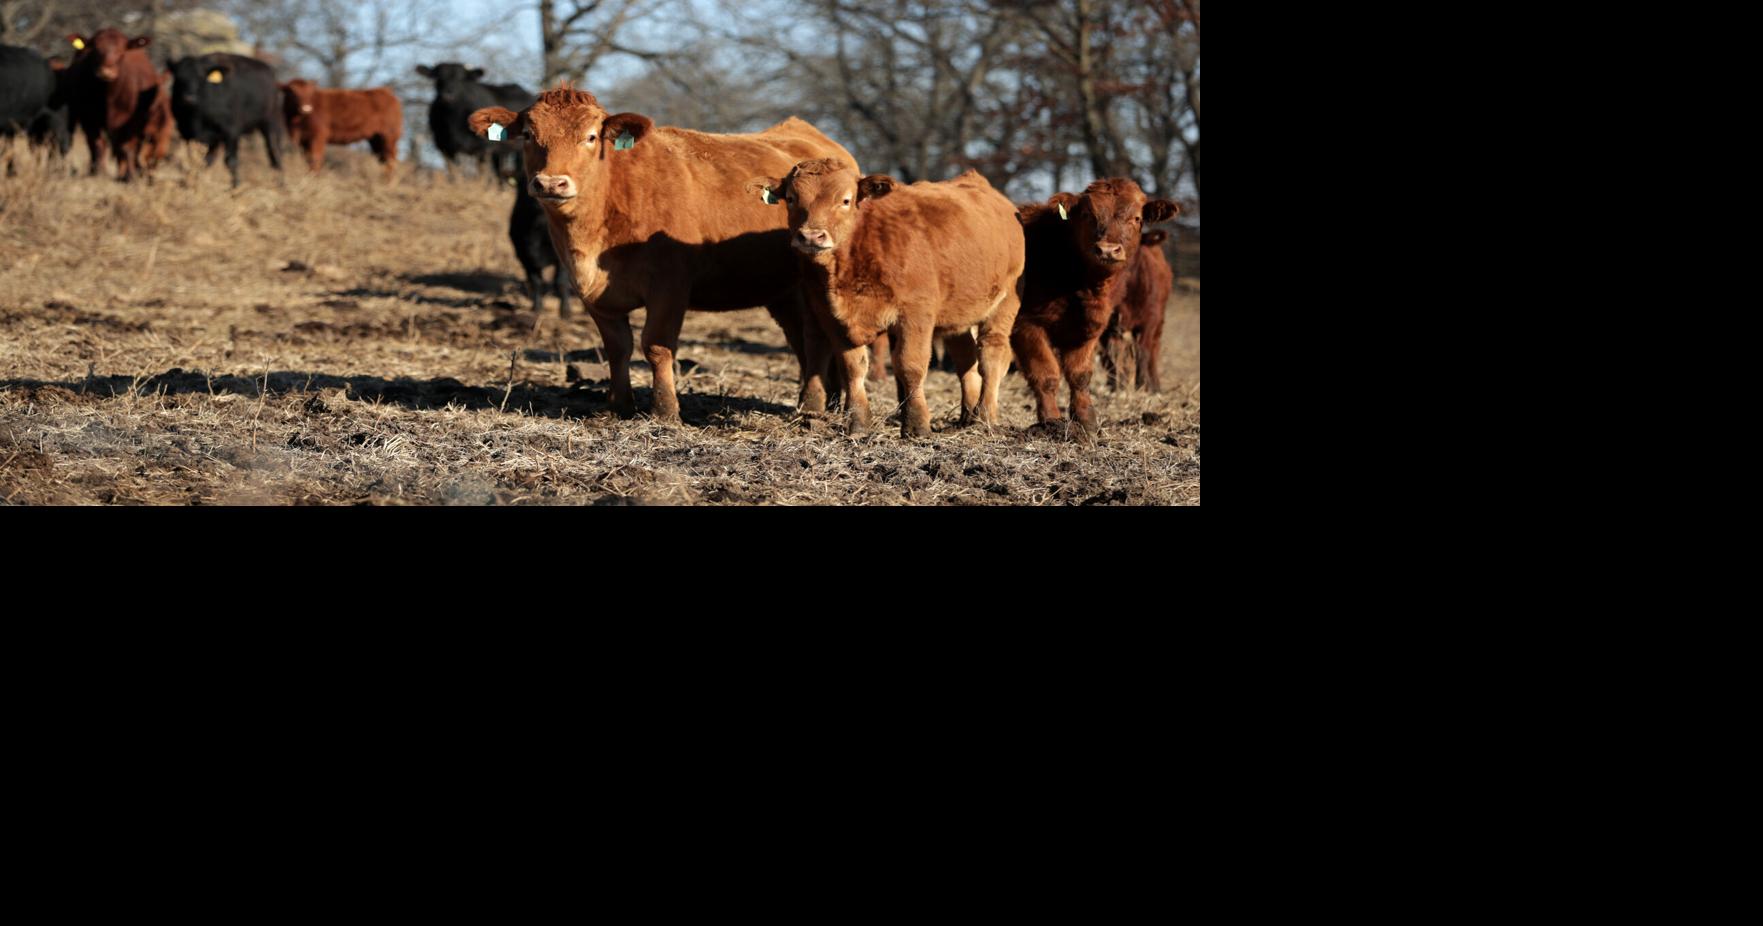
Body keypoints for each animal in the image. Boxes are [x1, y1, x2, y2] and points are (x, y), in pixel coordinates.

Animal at [62, 29, 164, 181]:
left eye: (121, 51)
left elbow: (127, 146)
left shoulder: (132, 120)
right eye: (95, 49)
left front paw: (131, 176)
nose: (106, 72)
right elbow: (97, 144)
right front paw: (98, 173)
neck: (109, 96)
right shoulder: (88, 118)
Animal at [169, 53, 285, 187]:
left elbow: (231, 161)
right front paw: (189, 183)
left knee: (275, 154)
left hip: (271, 122)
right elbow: (194, 159)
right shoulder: (186, 133)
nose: (189, 98)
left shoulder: (231, 131)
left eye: (200, 77)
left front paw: (235, 187)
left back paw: (281, 184)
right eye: (178, 77)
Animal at [466, 86, 856, 423]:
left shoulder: (669, 286)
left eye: (590, 137)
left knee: (817, 339)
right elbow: (617, 347)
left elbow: (656, 345)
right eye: (528, 134)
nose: (551, 183)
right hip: (781, 292)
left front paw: (665, 411)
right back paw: (826, 400)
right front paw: (619, 405)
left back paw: (818, 406)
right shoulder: (592, 293)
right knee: (802, 341)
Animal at [748, 160, 1024, 437]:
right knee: (965, 358)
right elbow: (852, 367)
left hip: (1005, 302)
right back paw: (968, 415)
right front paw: (859, 422)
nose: (811, 236)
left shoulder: (915, 315)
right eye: (791, 198)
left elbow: (909, 366)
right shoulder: (832, 317)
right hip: (958, 315)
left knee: (992, 356)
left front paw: (916, 424)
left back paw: (985, 416)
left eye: (846, 200)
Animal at [1099, 229, 1175, 393]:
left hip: (1159, 321)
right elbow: (1114, 355)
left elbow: (1143, 352)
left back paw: (1154, 386)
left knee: (1153, 349)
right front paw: (1117, 385)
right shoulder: (1111, 325)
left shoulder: (1149, 321)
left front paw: (1142, 385)